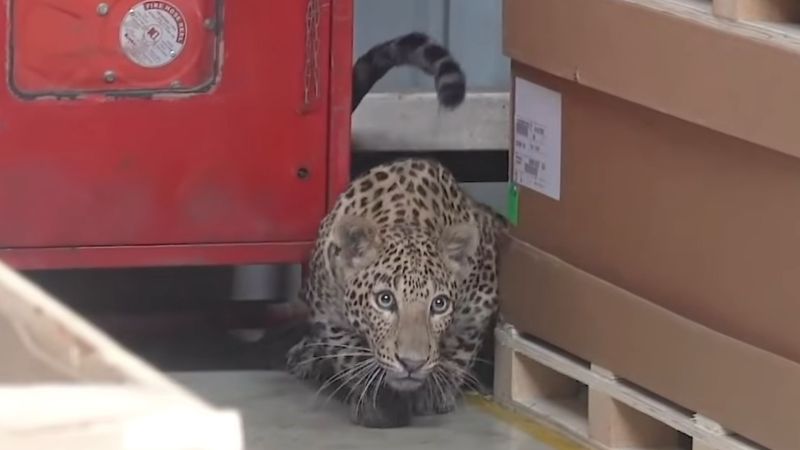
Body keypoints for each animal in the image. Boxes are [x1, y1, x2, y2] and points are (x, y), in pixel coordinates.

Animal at [286, 157, 507, 428]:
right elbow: (349, 354)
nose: (413, 364)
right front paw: (379, 403)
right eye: (385, 300)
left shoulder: (481, 303)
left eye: (439, 304)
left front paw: (435, 393)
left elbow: (460, 350)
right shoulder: (326, 314)